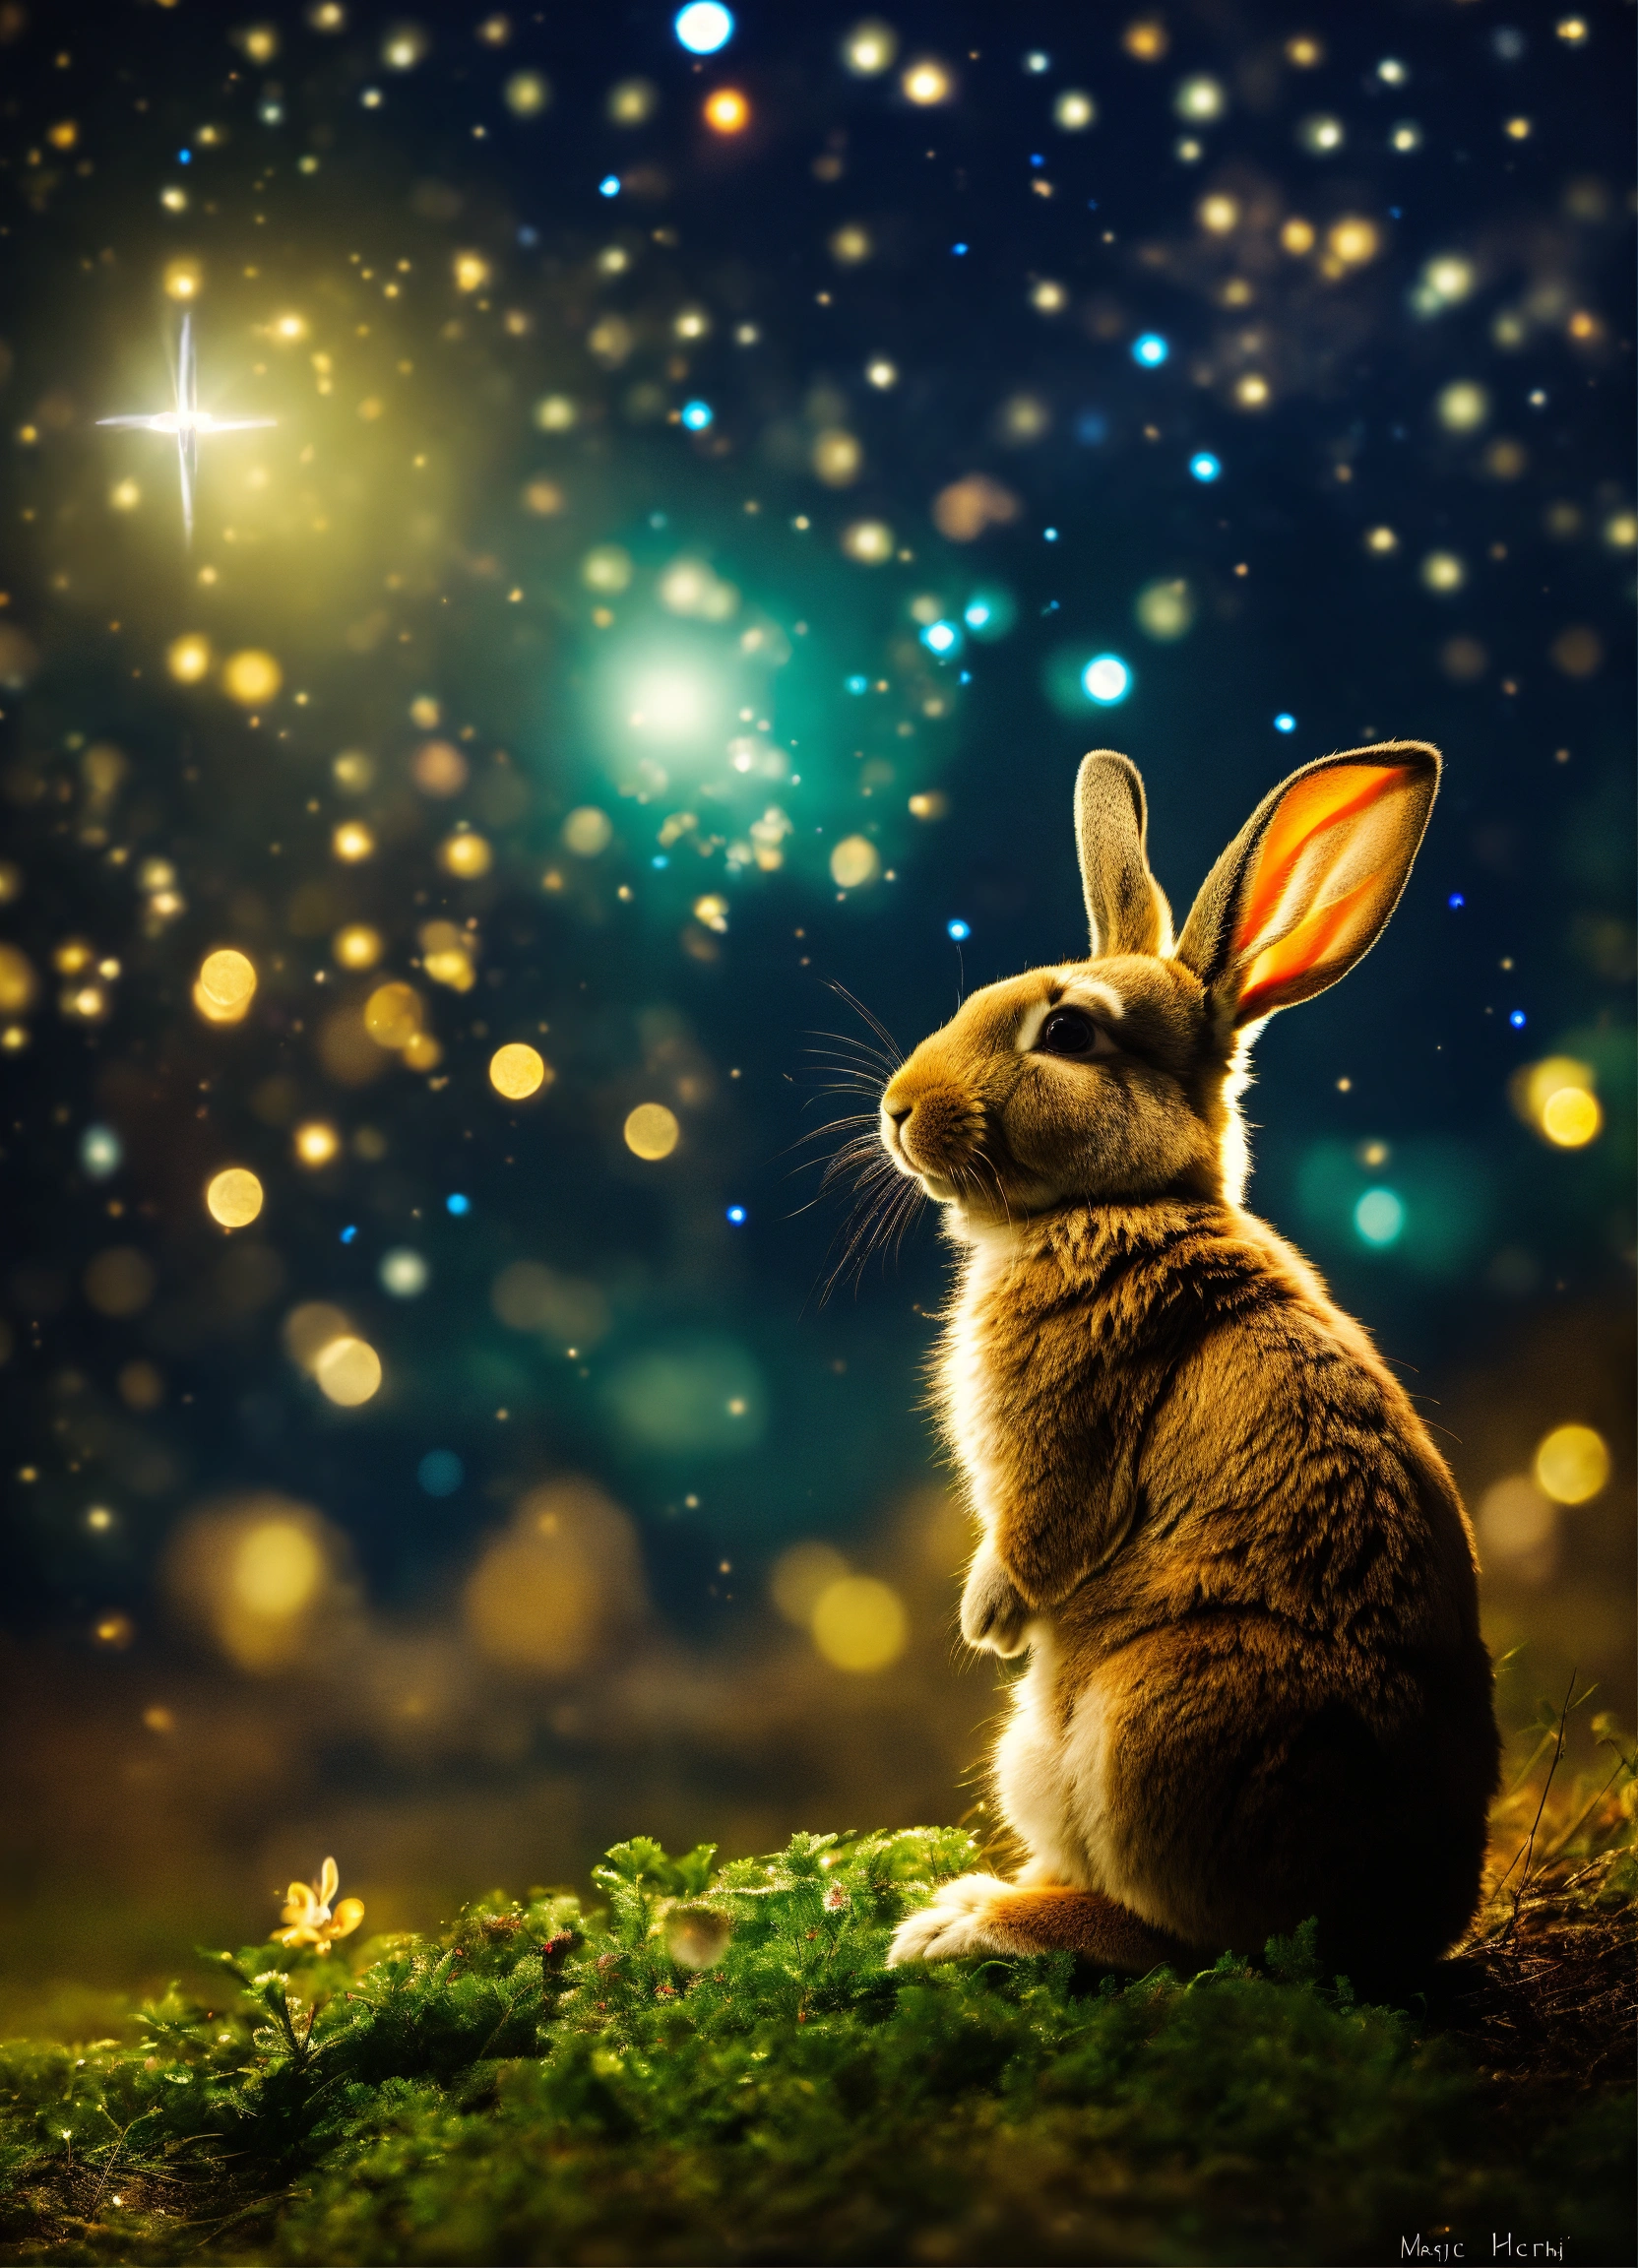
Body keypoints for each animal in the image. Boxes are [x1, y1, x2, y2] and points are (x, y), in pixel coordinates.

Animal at [879, 743, 1500, 1986]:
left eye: (1069, 1035)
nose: (896, 1111)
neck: (1124, 1199)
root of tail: (1410, 1920)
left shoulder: (1062, 1435)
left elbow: (1037, 1536)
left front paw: (985, 1620)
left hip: (1147, 1723)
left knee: (1198, 1940)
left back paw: (972, 1925)